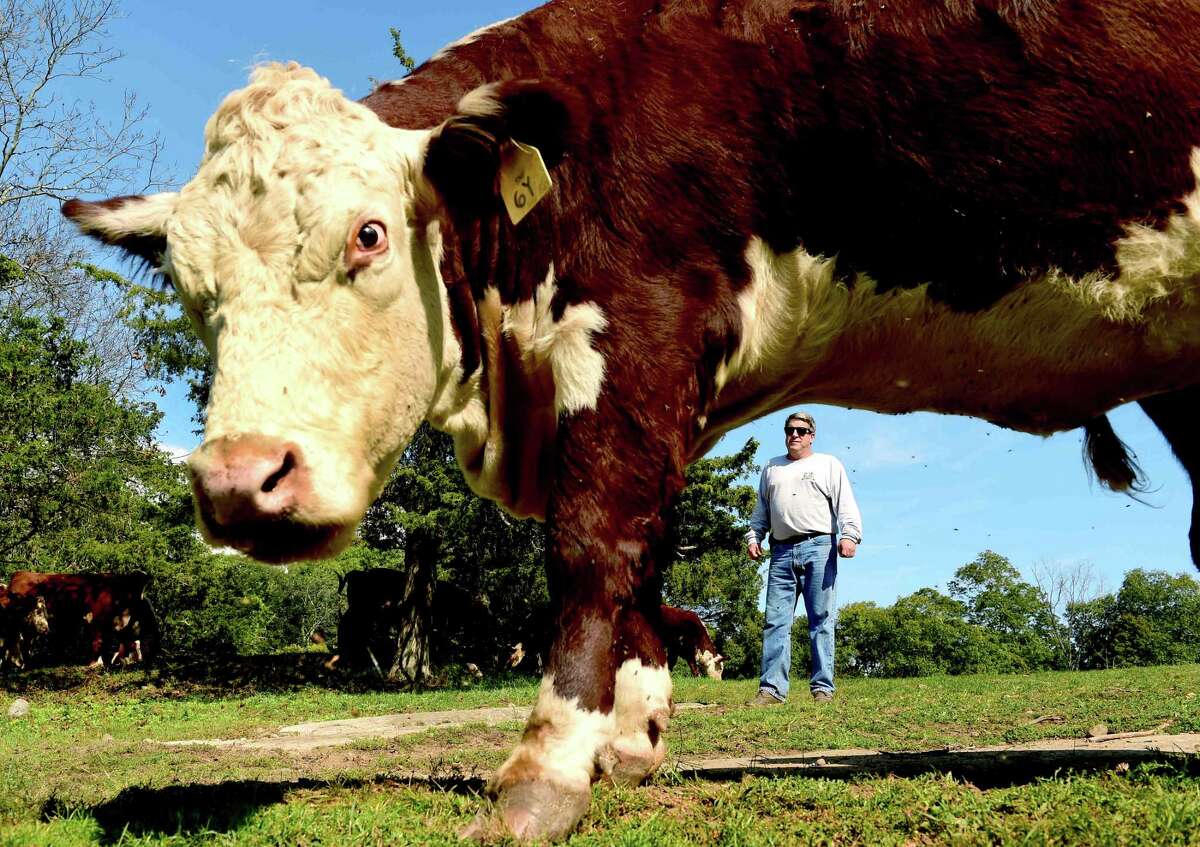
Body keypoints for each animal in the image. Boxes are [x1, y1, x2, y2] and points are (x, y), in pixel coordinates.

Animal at [62, 0, 1200, 839]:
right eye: (190, 289)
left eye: (369, 235)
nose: (237, 481)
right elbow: (647, 554)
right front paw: (632, 742)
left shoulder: (638, 330)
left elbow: (593, 545)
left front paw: (544, 770)